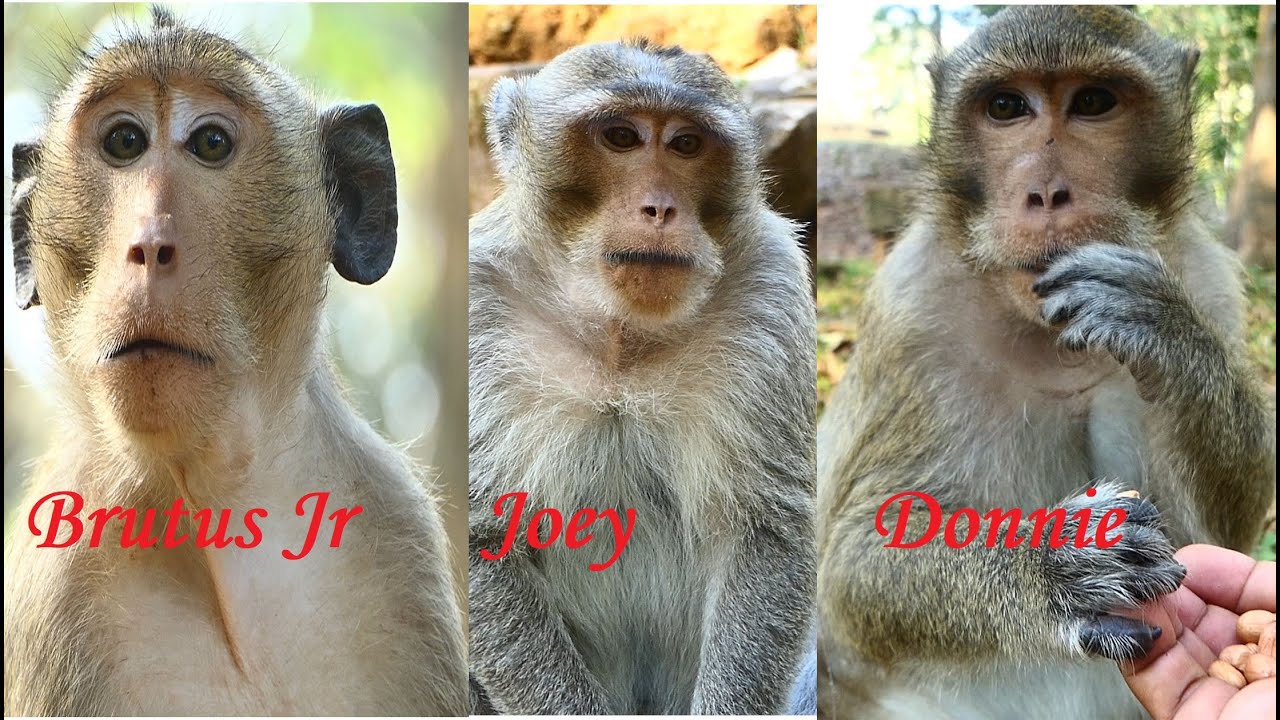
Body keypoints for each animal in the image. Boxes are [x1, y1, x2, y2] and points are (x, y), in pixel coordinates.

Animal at [2, 9, 466, 715]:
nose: (150, 244)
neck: (216, 504)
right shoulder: (53, 598)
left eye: (211, 143)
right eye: (125, 141)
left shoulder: (395, 538)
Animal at [467, 40, 817, 715]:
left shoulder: (772, 286)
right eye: (622, 137)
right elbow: (482, 539)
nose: (660, 208)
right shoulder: (480, 300)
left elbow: (768, 527)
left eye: (686, 144)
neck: (619, 338)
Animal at [816, 6, 1276, 720]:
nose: (1047, 192)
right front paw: (1052, 565)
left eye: (1093, 103)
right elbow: (853, 561)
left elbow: (1217, 540)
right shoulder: (908, 310)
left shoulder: (1208, 281)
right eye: (1007, 107)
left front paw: (1160, 324)